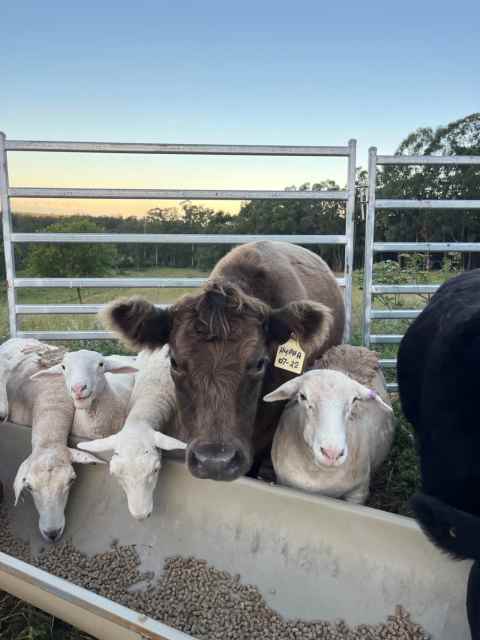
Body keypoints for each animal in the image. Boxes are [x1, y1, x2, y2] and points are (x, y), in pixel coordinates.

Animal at [263, 345, 394, 504]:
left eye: (354, 400)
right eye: (302, 396)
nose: (332, 453)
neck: (318, 474)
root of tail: (351, 347)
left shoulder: (358, 493)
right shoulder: (283, 482)